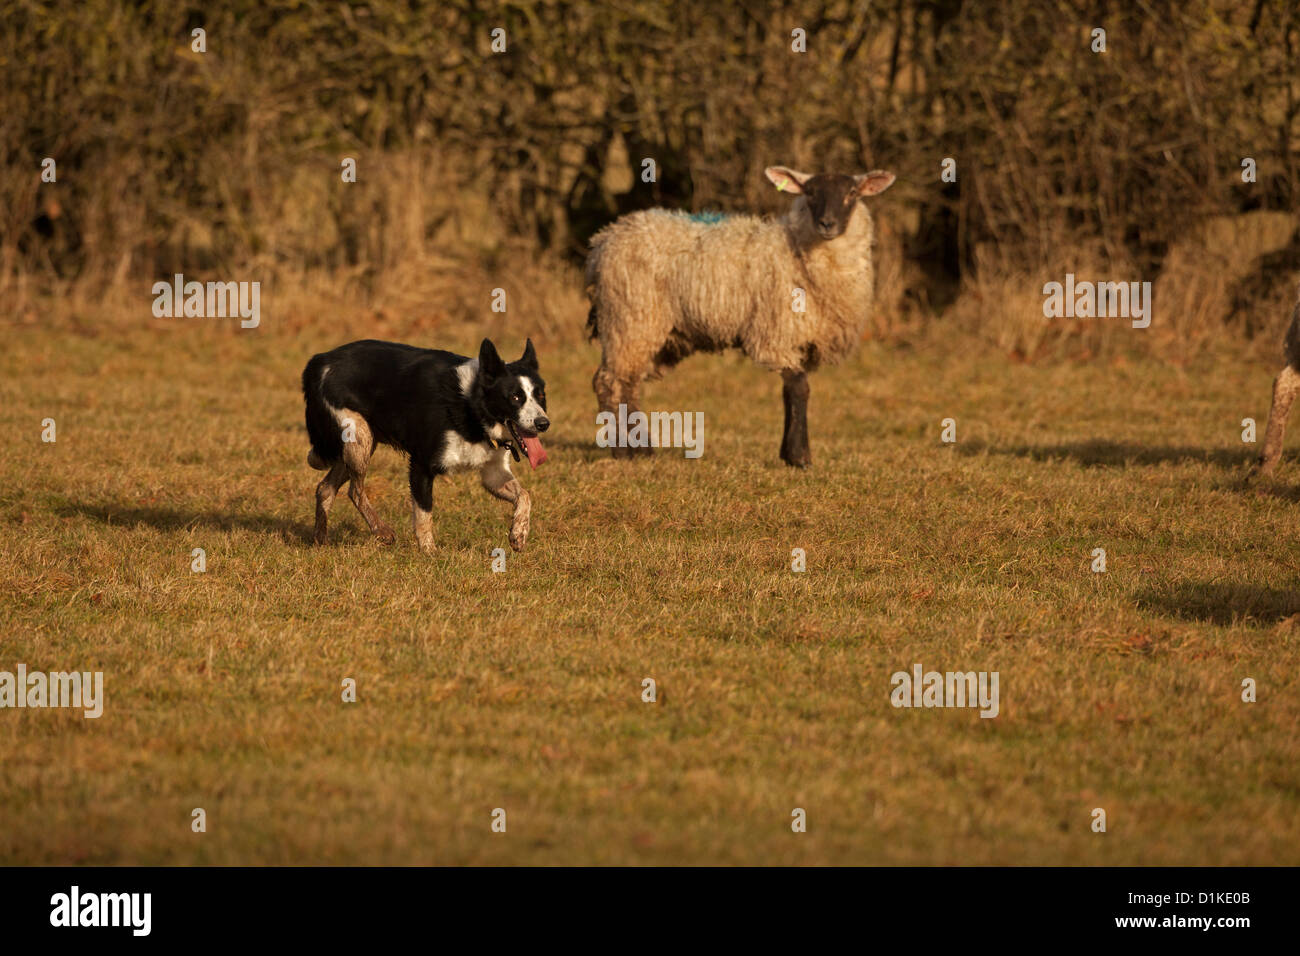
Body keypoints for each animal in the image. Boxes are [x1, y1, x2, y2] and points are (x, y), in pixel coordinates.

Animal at [584, 165, 896, 467]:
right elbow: (800, 388)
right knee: (610, 382)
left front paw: (788, 454)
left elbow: (789, 391)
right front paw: (800, 457)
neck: (796, 248)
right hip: (629, 318)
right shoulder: (774, 333)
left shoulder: (796, 339)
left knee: (629, 384)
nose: (827, 224)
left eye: (852, 193)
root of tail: (604, 241)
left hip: (644, 329)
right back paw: (624, 453)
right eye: (810, 192)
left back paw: (643, 451)